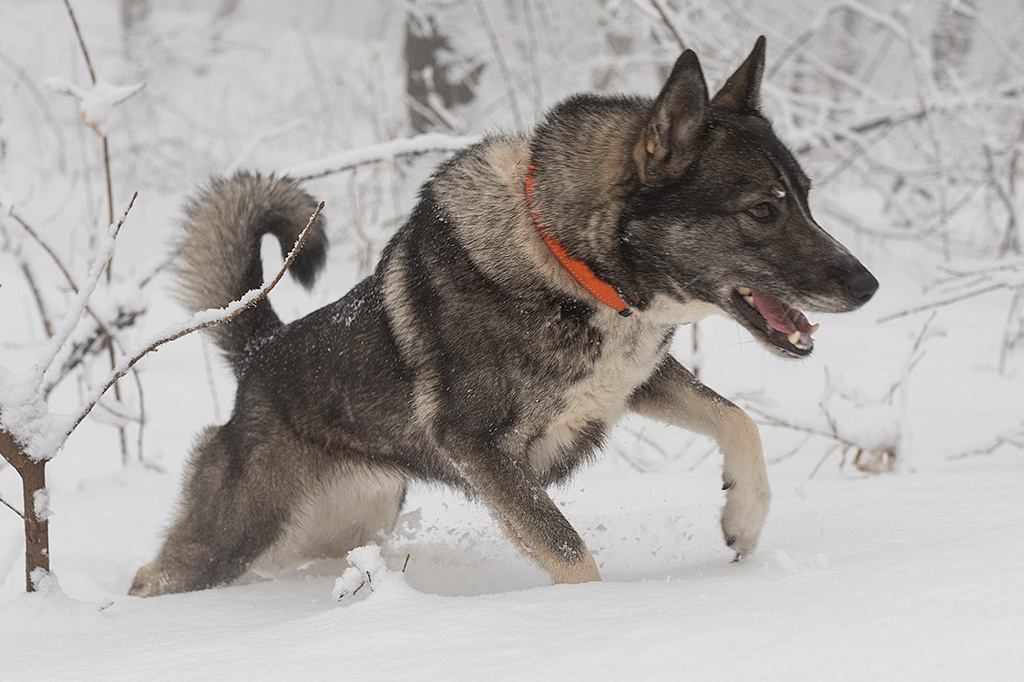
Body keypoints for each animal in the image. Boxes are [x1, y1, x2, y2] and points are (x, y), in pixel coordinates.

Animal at [130, 37, 880, 593]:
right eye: (761, 210)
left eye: (805, 196)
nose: (868, 285)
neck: (568, 261)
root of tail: (263, 352)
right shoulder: (482, 449)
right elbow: (569, 551)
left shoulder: (638, 382)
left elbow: (738, 421)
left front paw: (744, 518)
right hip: (235, 533)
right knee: (157, 574)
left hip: (339, 526)